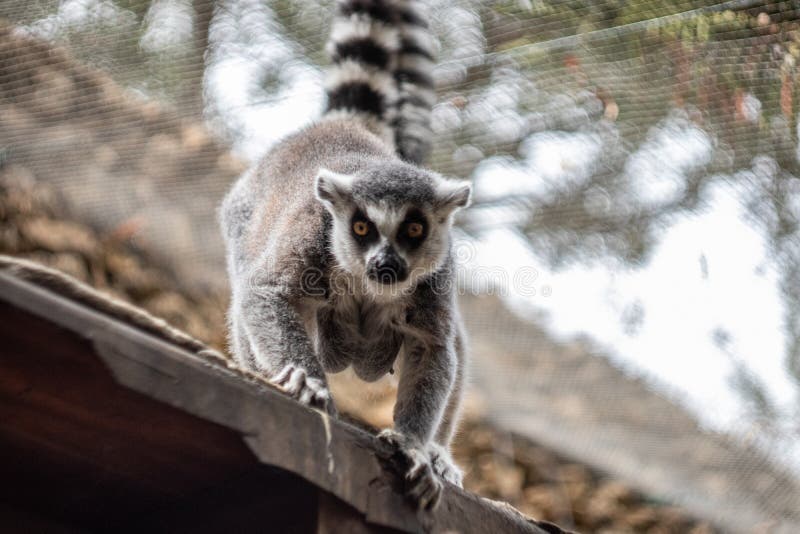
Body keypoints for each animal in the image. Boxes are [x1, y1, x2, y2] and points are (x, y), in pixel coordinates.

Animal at [219, 0, 470, 510]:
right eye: (361, 227)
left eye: (415, 229)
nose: (385, 265)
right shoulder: (312, 236)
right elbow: (266, 294)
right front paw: (305, 380)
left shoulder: (438, 275)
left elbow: (434, 346)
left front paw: (415, 446)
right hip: (240, 219)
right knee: (249, 296)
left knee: (453, 341)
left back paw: (439, 454)